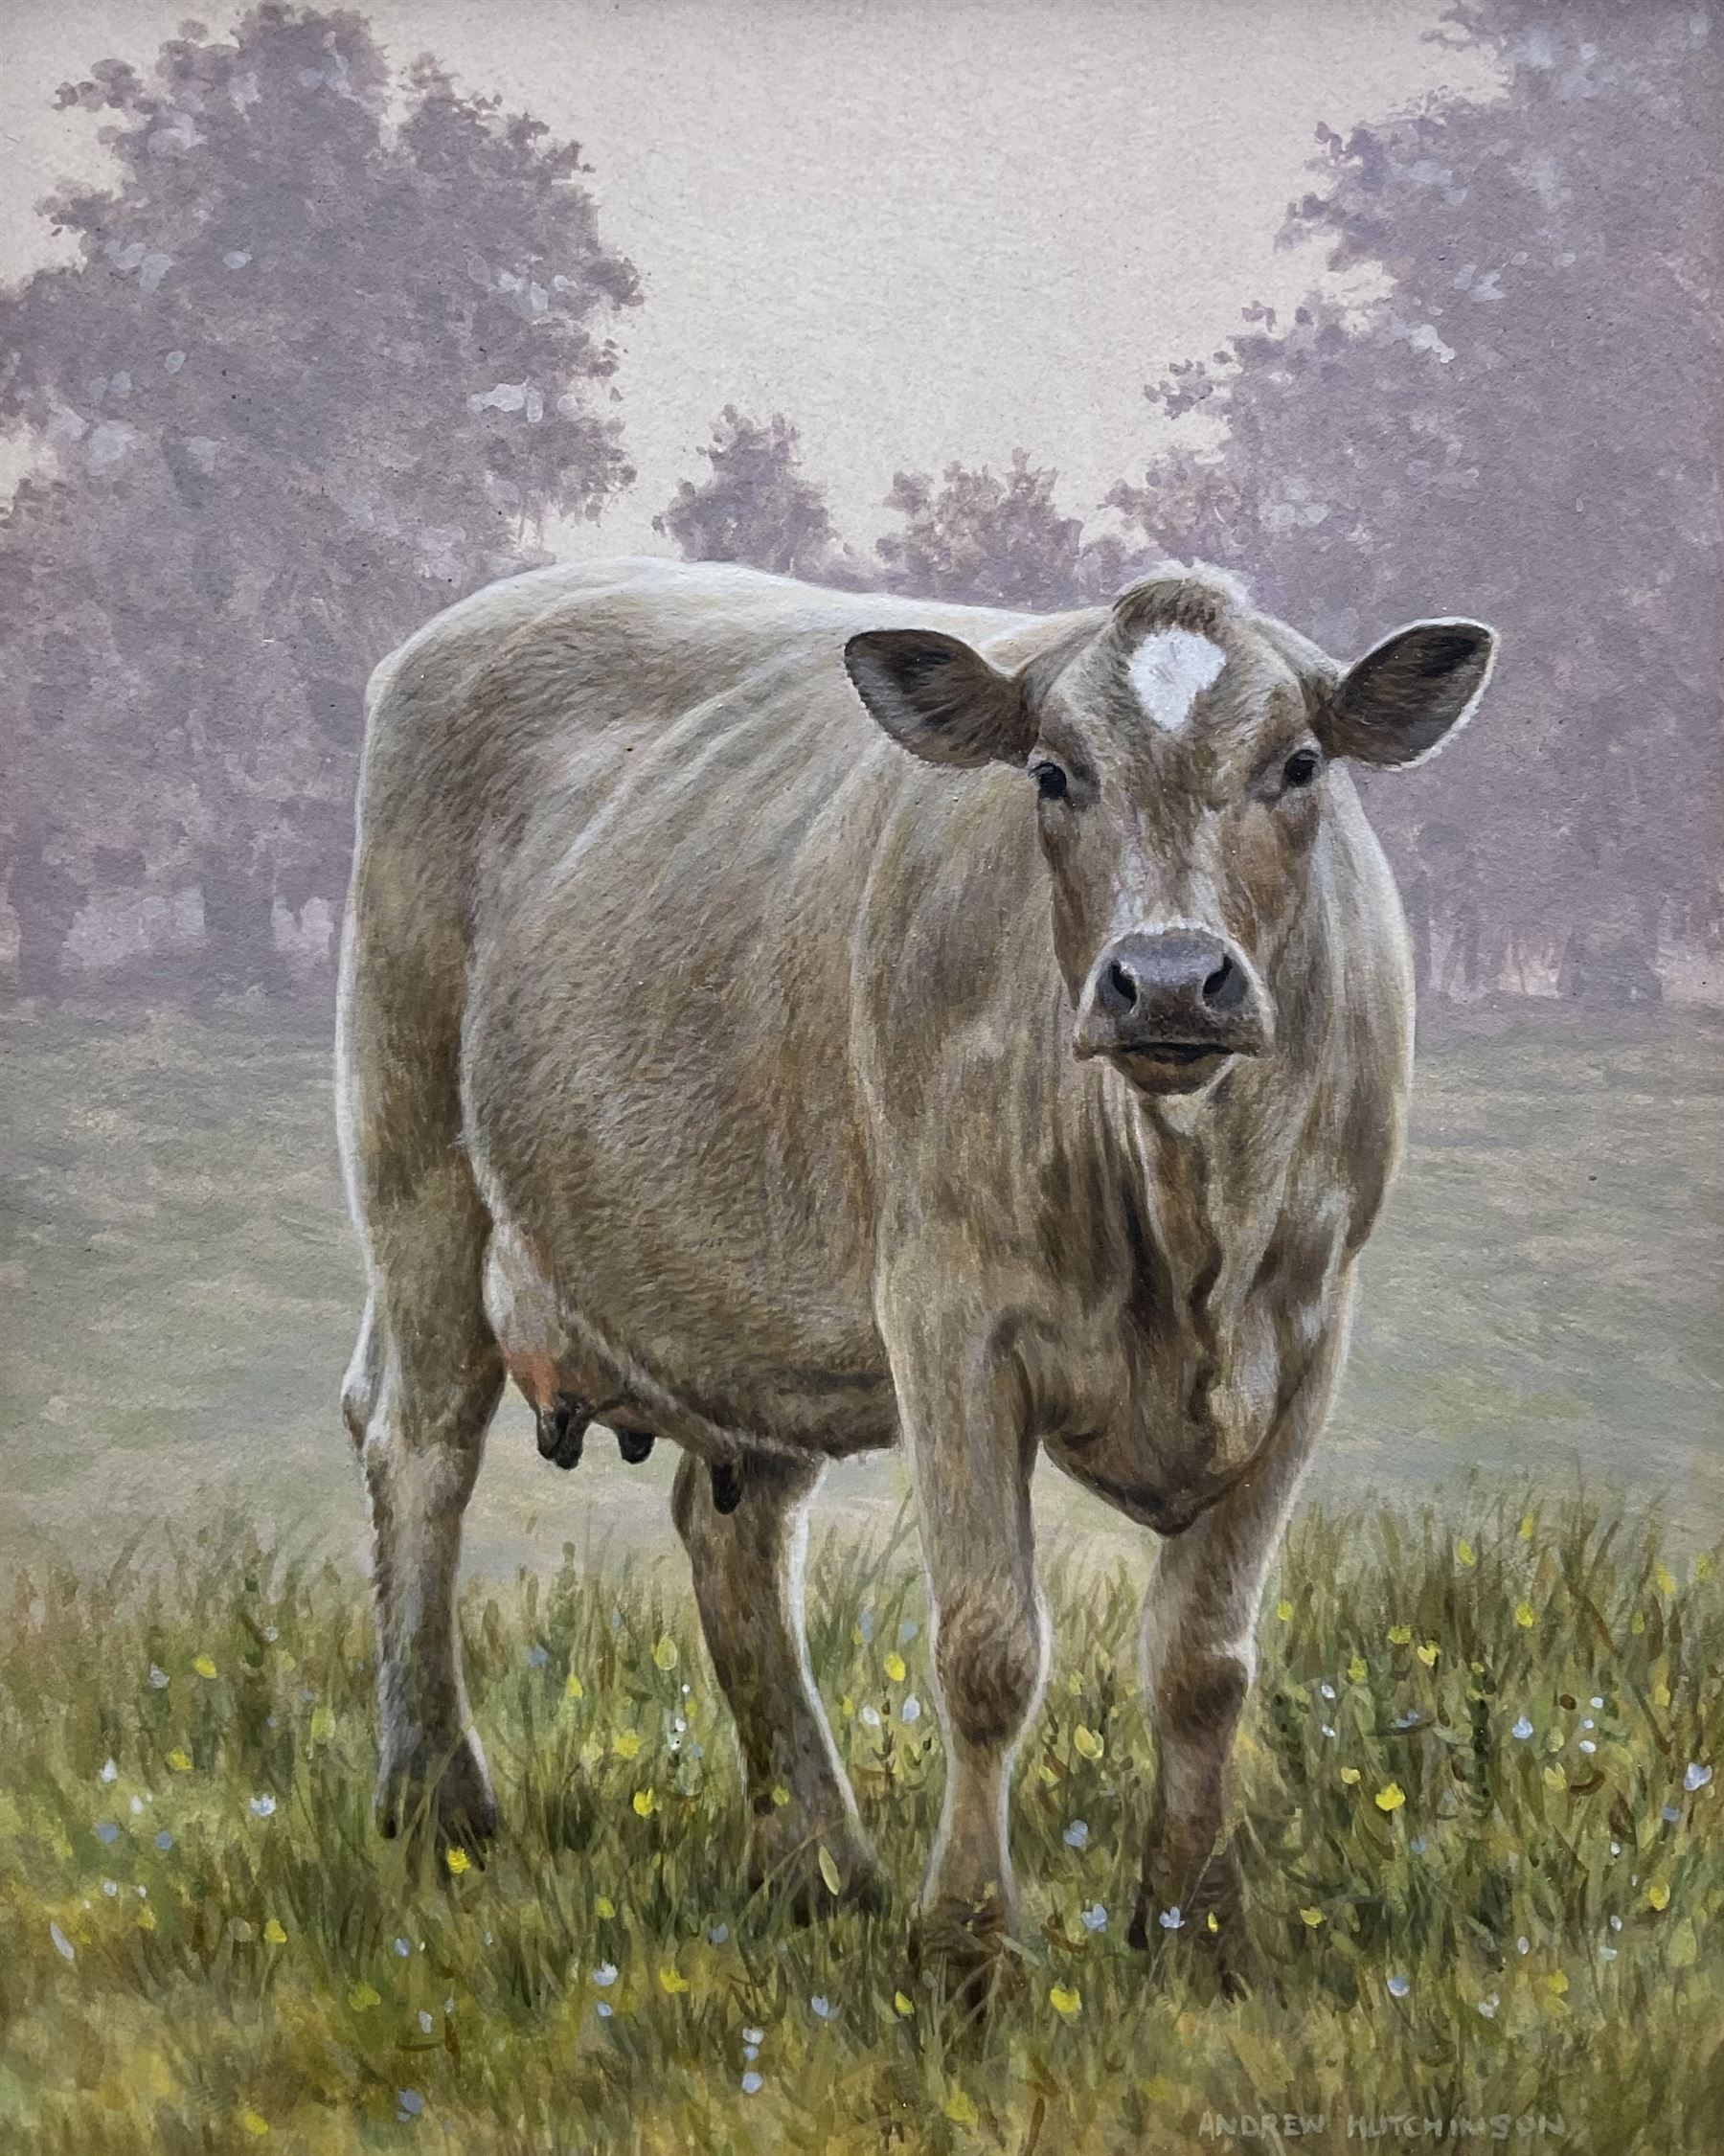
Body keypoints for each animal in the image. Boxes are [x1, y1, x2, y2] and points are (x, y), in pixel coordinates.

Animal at [336, 555, 1496, 1990]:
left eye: (1299, 762)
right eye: (1052, 771)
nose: (1170, 977)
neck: (1187, 1221)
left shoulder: (1308, 1331)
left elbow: (1205, 1658)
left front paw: (1198, 1929)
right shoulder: (950, 1315)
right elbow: (988, 1647)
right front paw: (967, 1948)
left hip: (741, 1295)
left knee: (732, 1534)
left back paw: (816, 1858)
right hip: (416, 1156)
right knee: (420, 1448)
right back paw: (435, 1797)